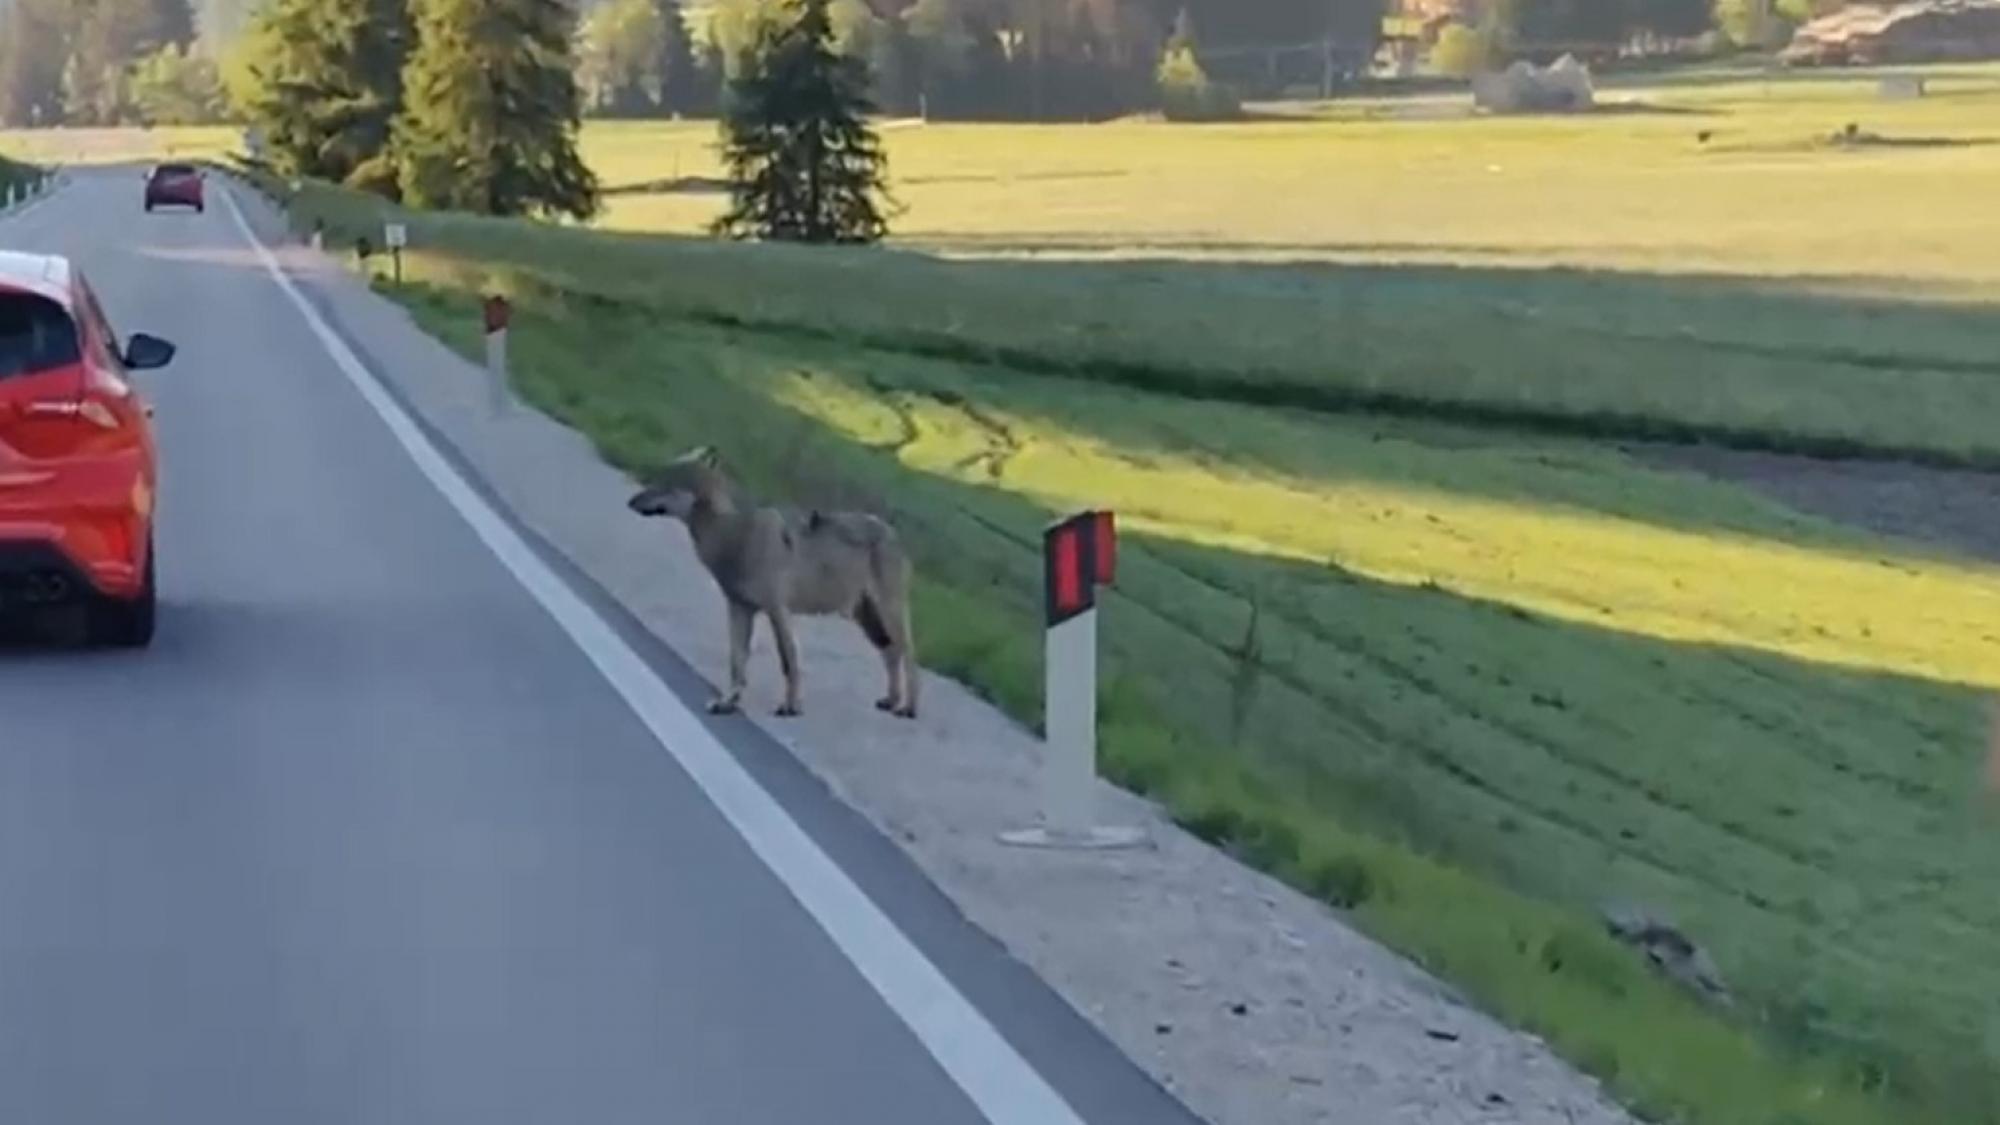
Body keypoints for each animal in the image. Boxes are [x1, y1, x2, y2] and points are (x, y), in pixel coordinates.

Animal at [627, 446, 920, 720]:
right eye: (657, 478)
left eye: (666, 483)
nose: (630, 502)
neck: (729, 534)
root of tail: (894, 532)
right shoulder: (739, 608)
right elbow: (737, 660)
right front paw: (727, 703)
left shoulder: (777, 609)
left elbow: (788, 661)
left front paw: (790, 706)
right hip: (866, 619)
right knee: (891, 653)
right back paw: (891, 701)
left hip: (887, 614)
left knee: (908, 655)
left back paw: (908, 708)